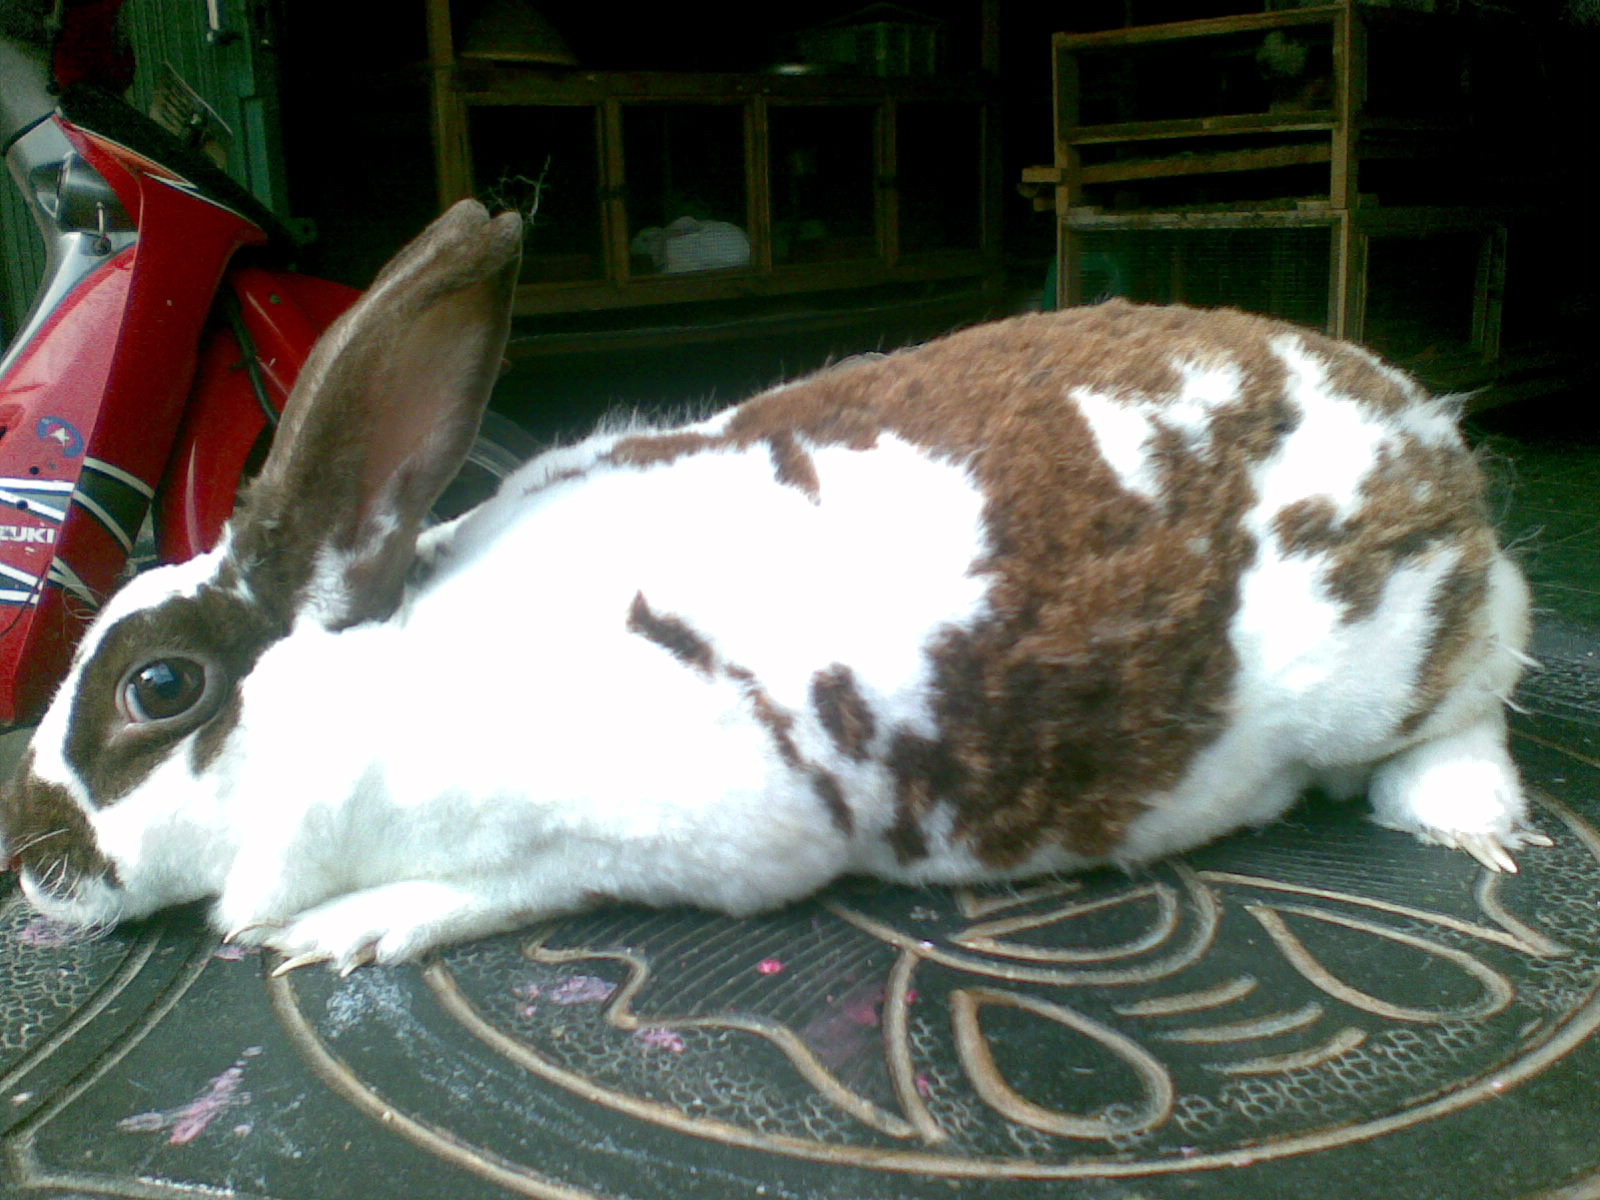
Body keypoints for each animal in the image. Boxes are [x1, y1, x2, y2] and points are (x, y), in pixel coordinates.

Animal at [0, 199, 1549, 974]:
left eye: (157, 687)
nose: (26, 859)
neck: (389, 677)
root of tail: (1420, 422)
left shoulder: (683, 828)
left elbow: (508, 885)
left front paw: (345, 931)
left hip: (1409, 655)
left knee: (1478, 699)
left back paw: (1464, 819)